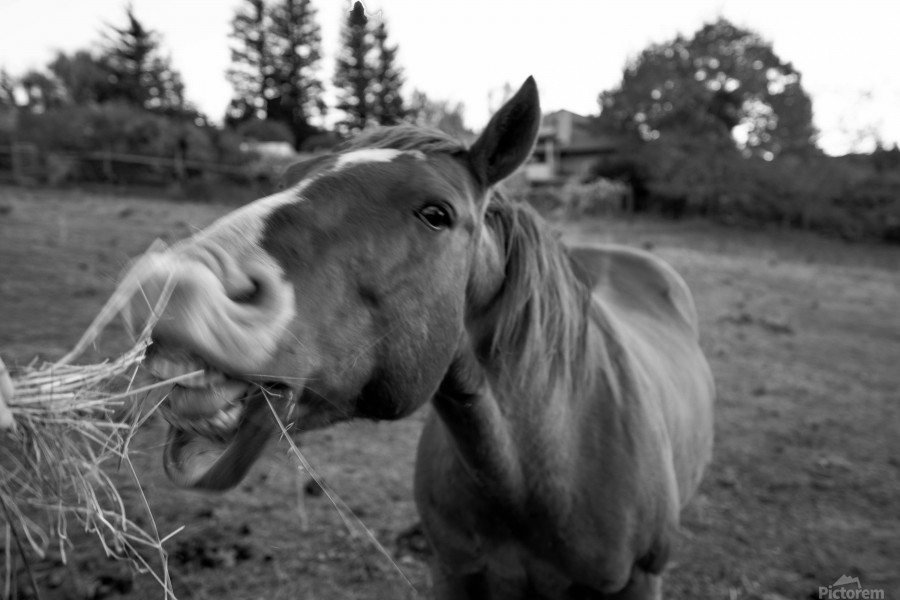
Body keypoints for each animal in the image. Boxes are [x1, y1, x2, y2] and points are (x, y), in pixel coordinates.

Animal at [126, 77, 715, 599]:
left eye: (436, 213)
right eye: (285, 176)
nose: (174, 286)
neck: (538, 476)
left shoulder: (641, 580)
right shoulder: (452, 573)